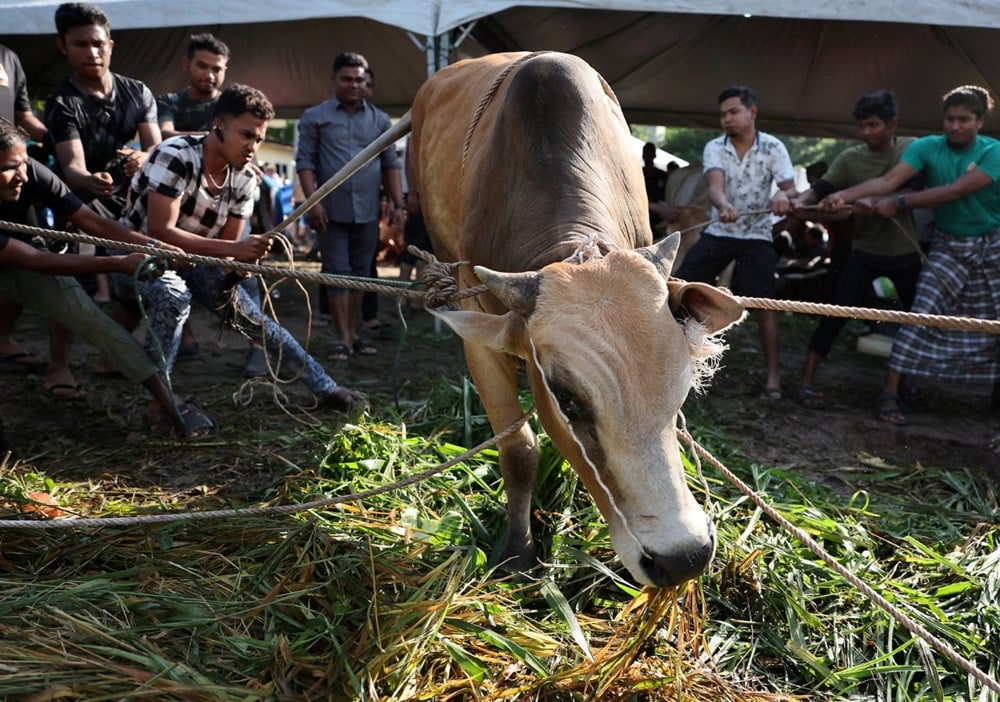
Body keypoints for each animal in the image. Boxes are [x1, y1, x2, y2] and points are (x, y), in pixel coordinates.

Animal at [404, 52, 744, 588]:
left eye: (683, 388)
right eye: (568, 398)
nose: (684, 557)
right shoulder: (481, 339)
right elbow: (519, 452)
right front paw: (518, 553)